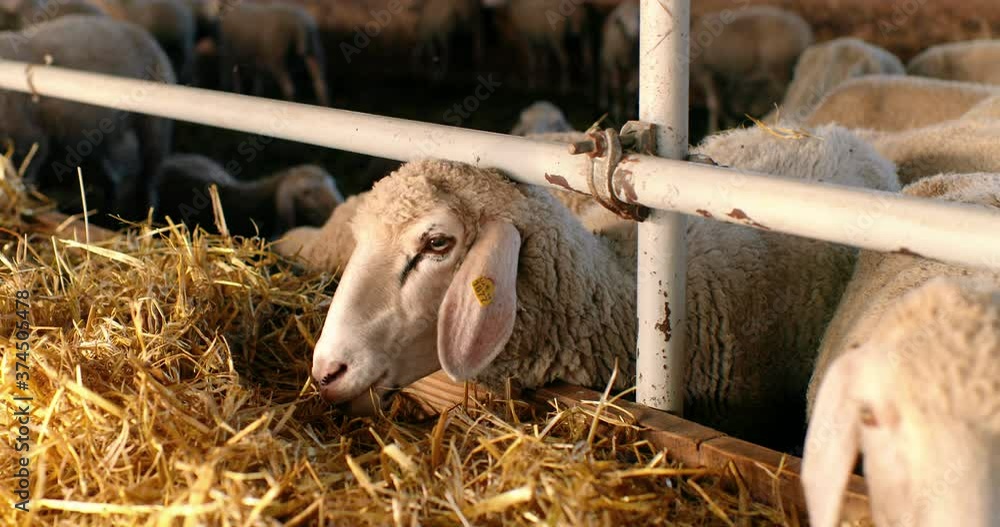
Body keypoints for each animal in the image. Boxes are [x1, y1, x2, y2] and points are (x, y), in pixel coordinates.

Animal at [0, 15, 175, 221]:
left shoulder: (31, 137)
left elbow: (28, 168)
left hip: (154, 126)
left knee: (150, 173)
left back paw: (147, 214)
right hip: (95, 136)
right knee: (113, 176)